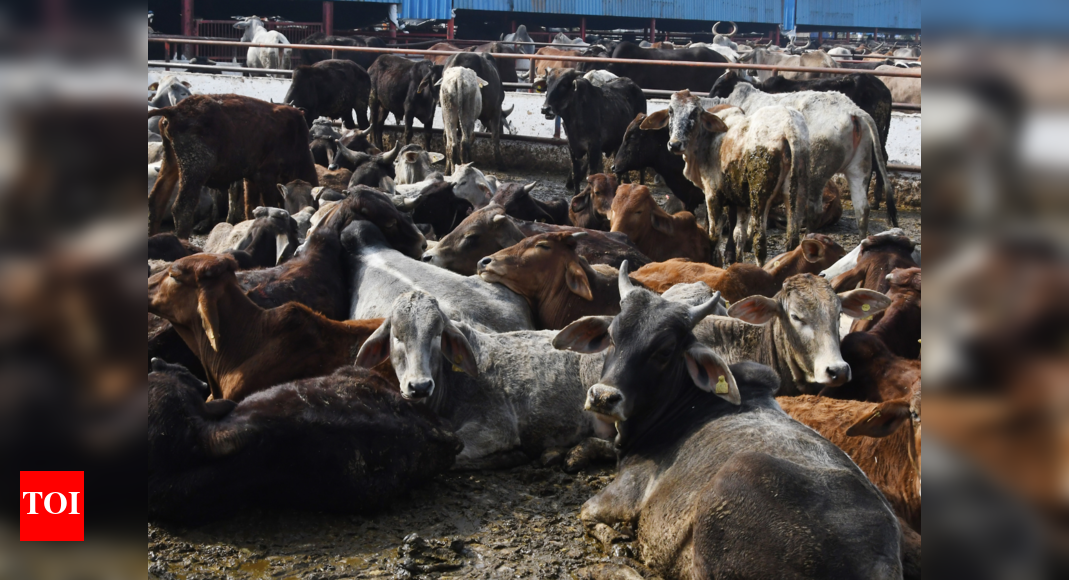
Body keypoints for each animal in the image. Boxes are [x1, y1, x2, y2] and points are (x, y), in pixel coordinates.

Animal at [147, 95, 318, 238]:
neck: (295, 138)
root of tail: (174, 110)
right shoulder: (266, 177)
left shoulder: (251, 179)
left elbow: (251, 208)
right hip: (195, 170)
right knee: (182, 208)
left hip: (171, 163)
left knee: (156, 203)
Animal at [551, 271, 908, 580]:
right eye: (612, 337)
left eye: (665, 350)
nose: (603, 397)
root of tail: (882, 563)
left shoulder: (626, 493)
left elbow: (586, 512)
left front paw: (616, 542)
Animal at [641, 96, 809, 265]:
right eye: (671, 111)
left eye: (694, 113)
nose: (674, 144)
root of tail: (789, 126)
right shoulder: (742, 200)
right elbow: (738, 235)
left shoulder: (712, 194)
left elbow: (714, 234)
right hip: (796, 197)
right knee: (792, 241)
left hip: (759, 196)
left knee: (760, 243)